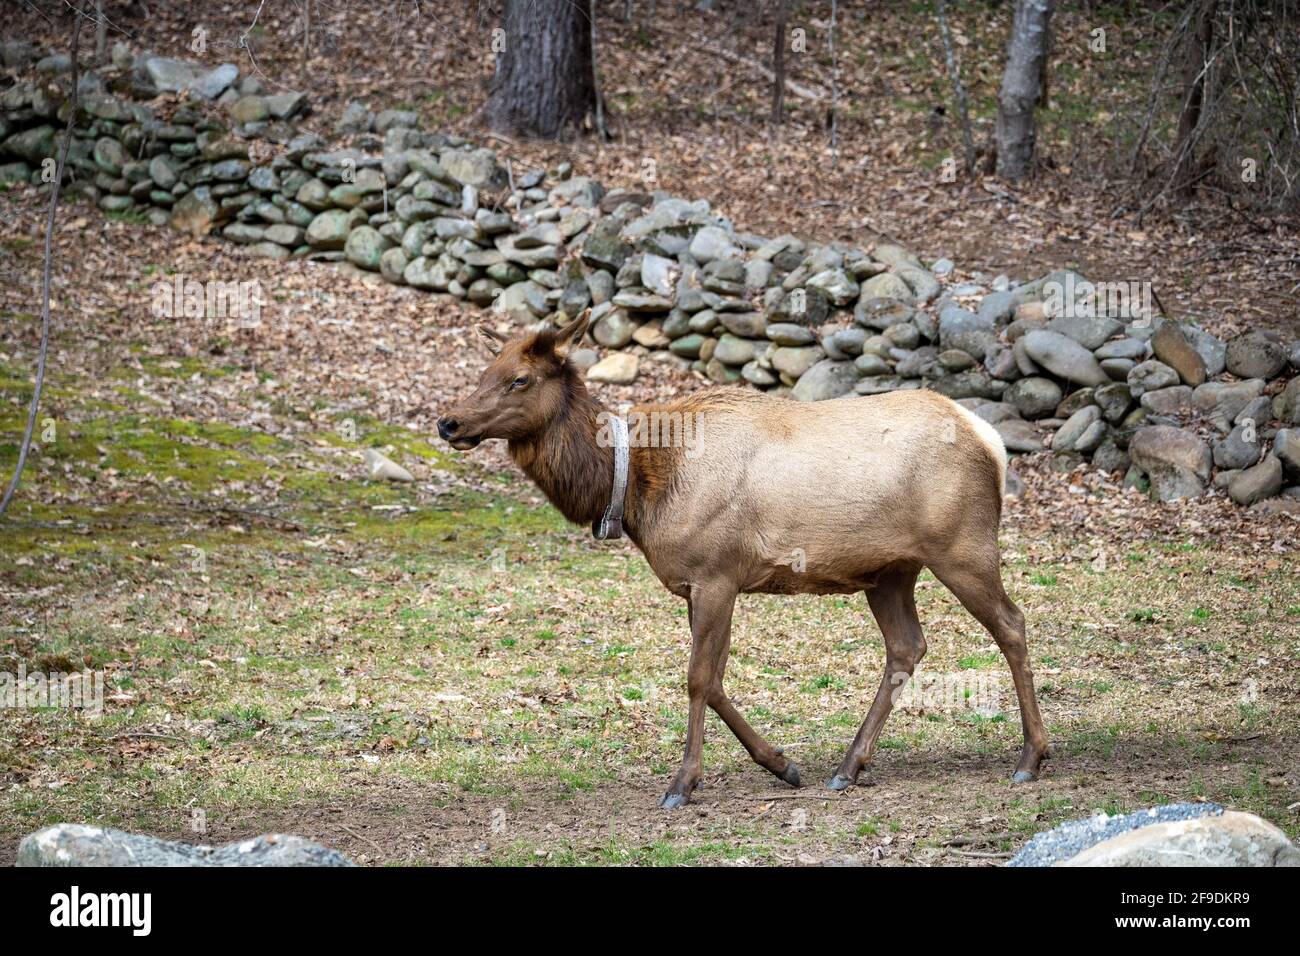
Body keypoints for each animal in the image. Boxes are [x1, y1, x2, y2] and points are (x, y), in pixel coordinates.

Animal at [437, 312, 1049, 808]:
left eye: (520, 378)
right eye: (486, 369)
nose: (449, 422)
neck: (635, 488)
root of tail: (991, 441)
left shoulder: (716, 573)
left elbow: (697, 678)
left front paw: (682, 785)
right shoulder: (700, 583)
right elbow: (714, 680)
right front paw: (782, 764)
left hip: (963, 546)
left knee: (1012, 624)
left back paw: (1030, 757)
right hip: (890, 571)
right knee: (907, 647)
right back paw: (848, 766)